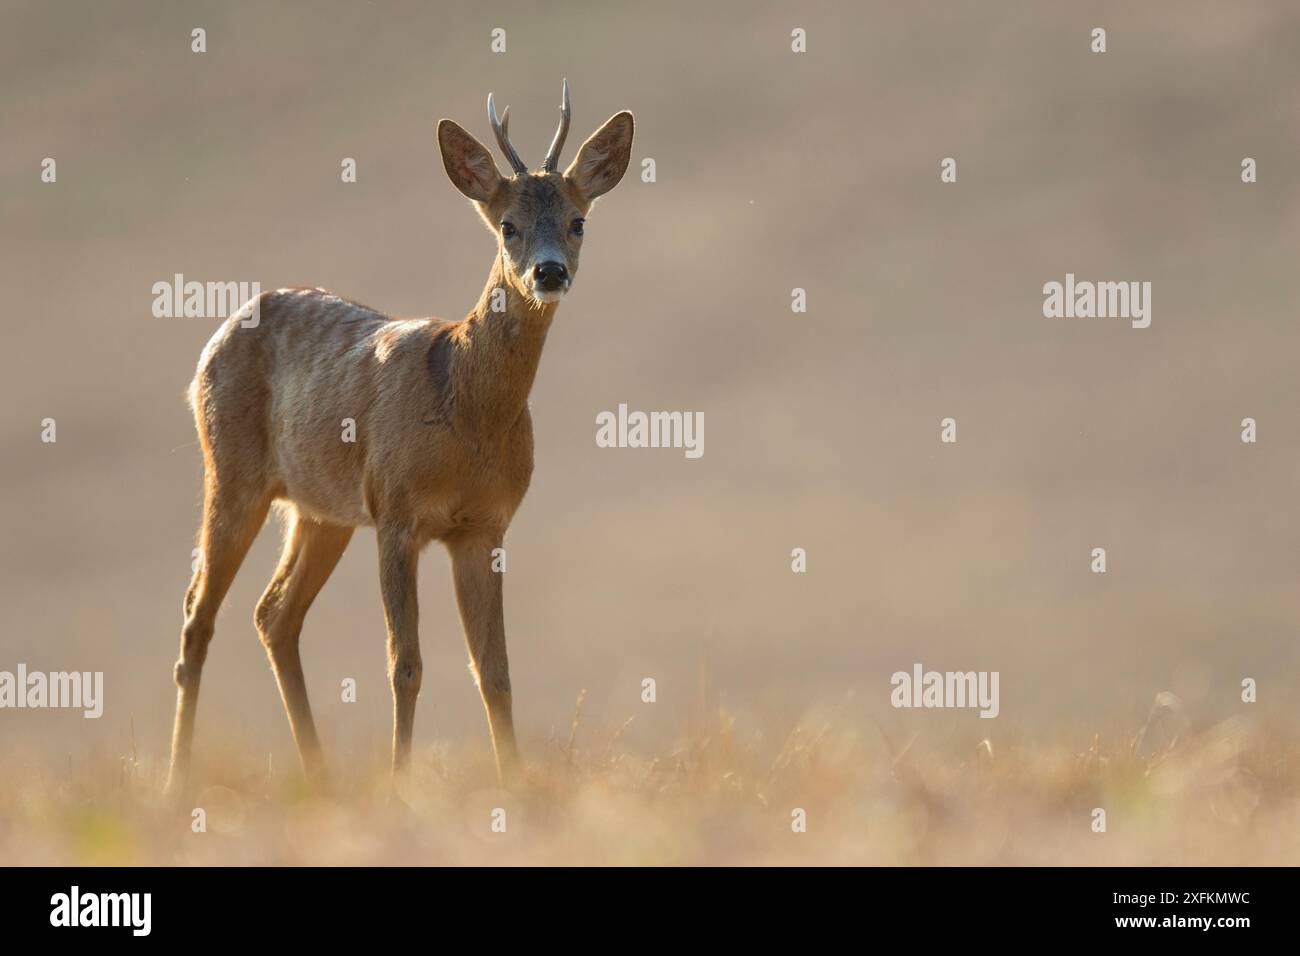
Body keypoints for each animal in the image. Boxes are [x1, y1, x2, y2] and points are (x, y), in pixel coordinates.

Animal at [164, 80, 634, 796]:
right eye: (507, 225)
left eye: (578, 221)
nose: (549, 273)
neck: (468, 410)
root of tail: (212, 341)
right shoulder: (396, 510)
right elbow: (404, 664)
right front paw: (400, 780)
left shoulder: (484, 527)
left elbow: (494, 669)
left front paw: (514, 780)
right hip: (233, 472)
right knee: (197, 614)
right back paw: (176, 781)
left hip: (320, 510)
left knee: (274, 614)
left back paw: (317, 773)